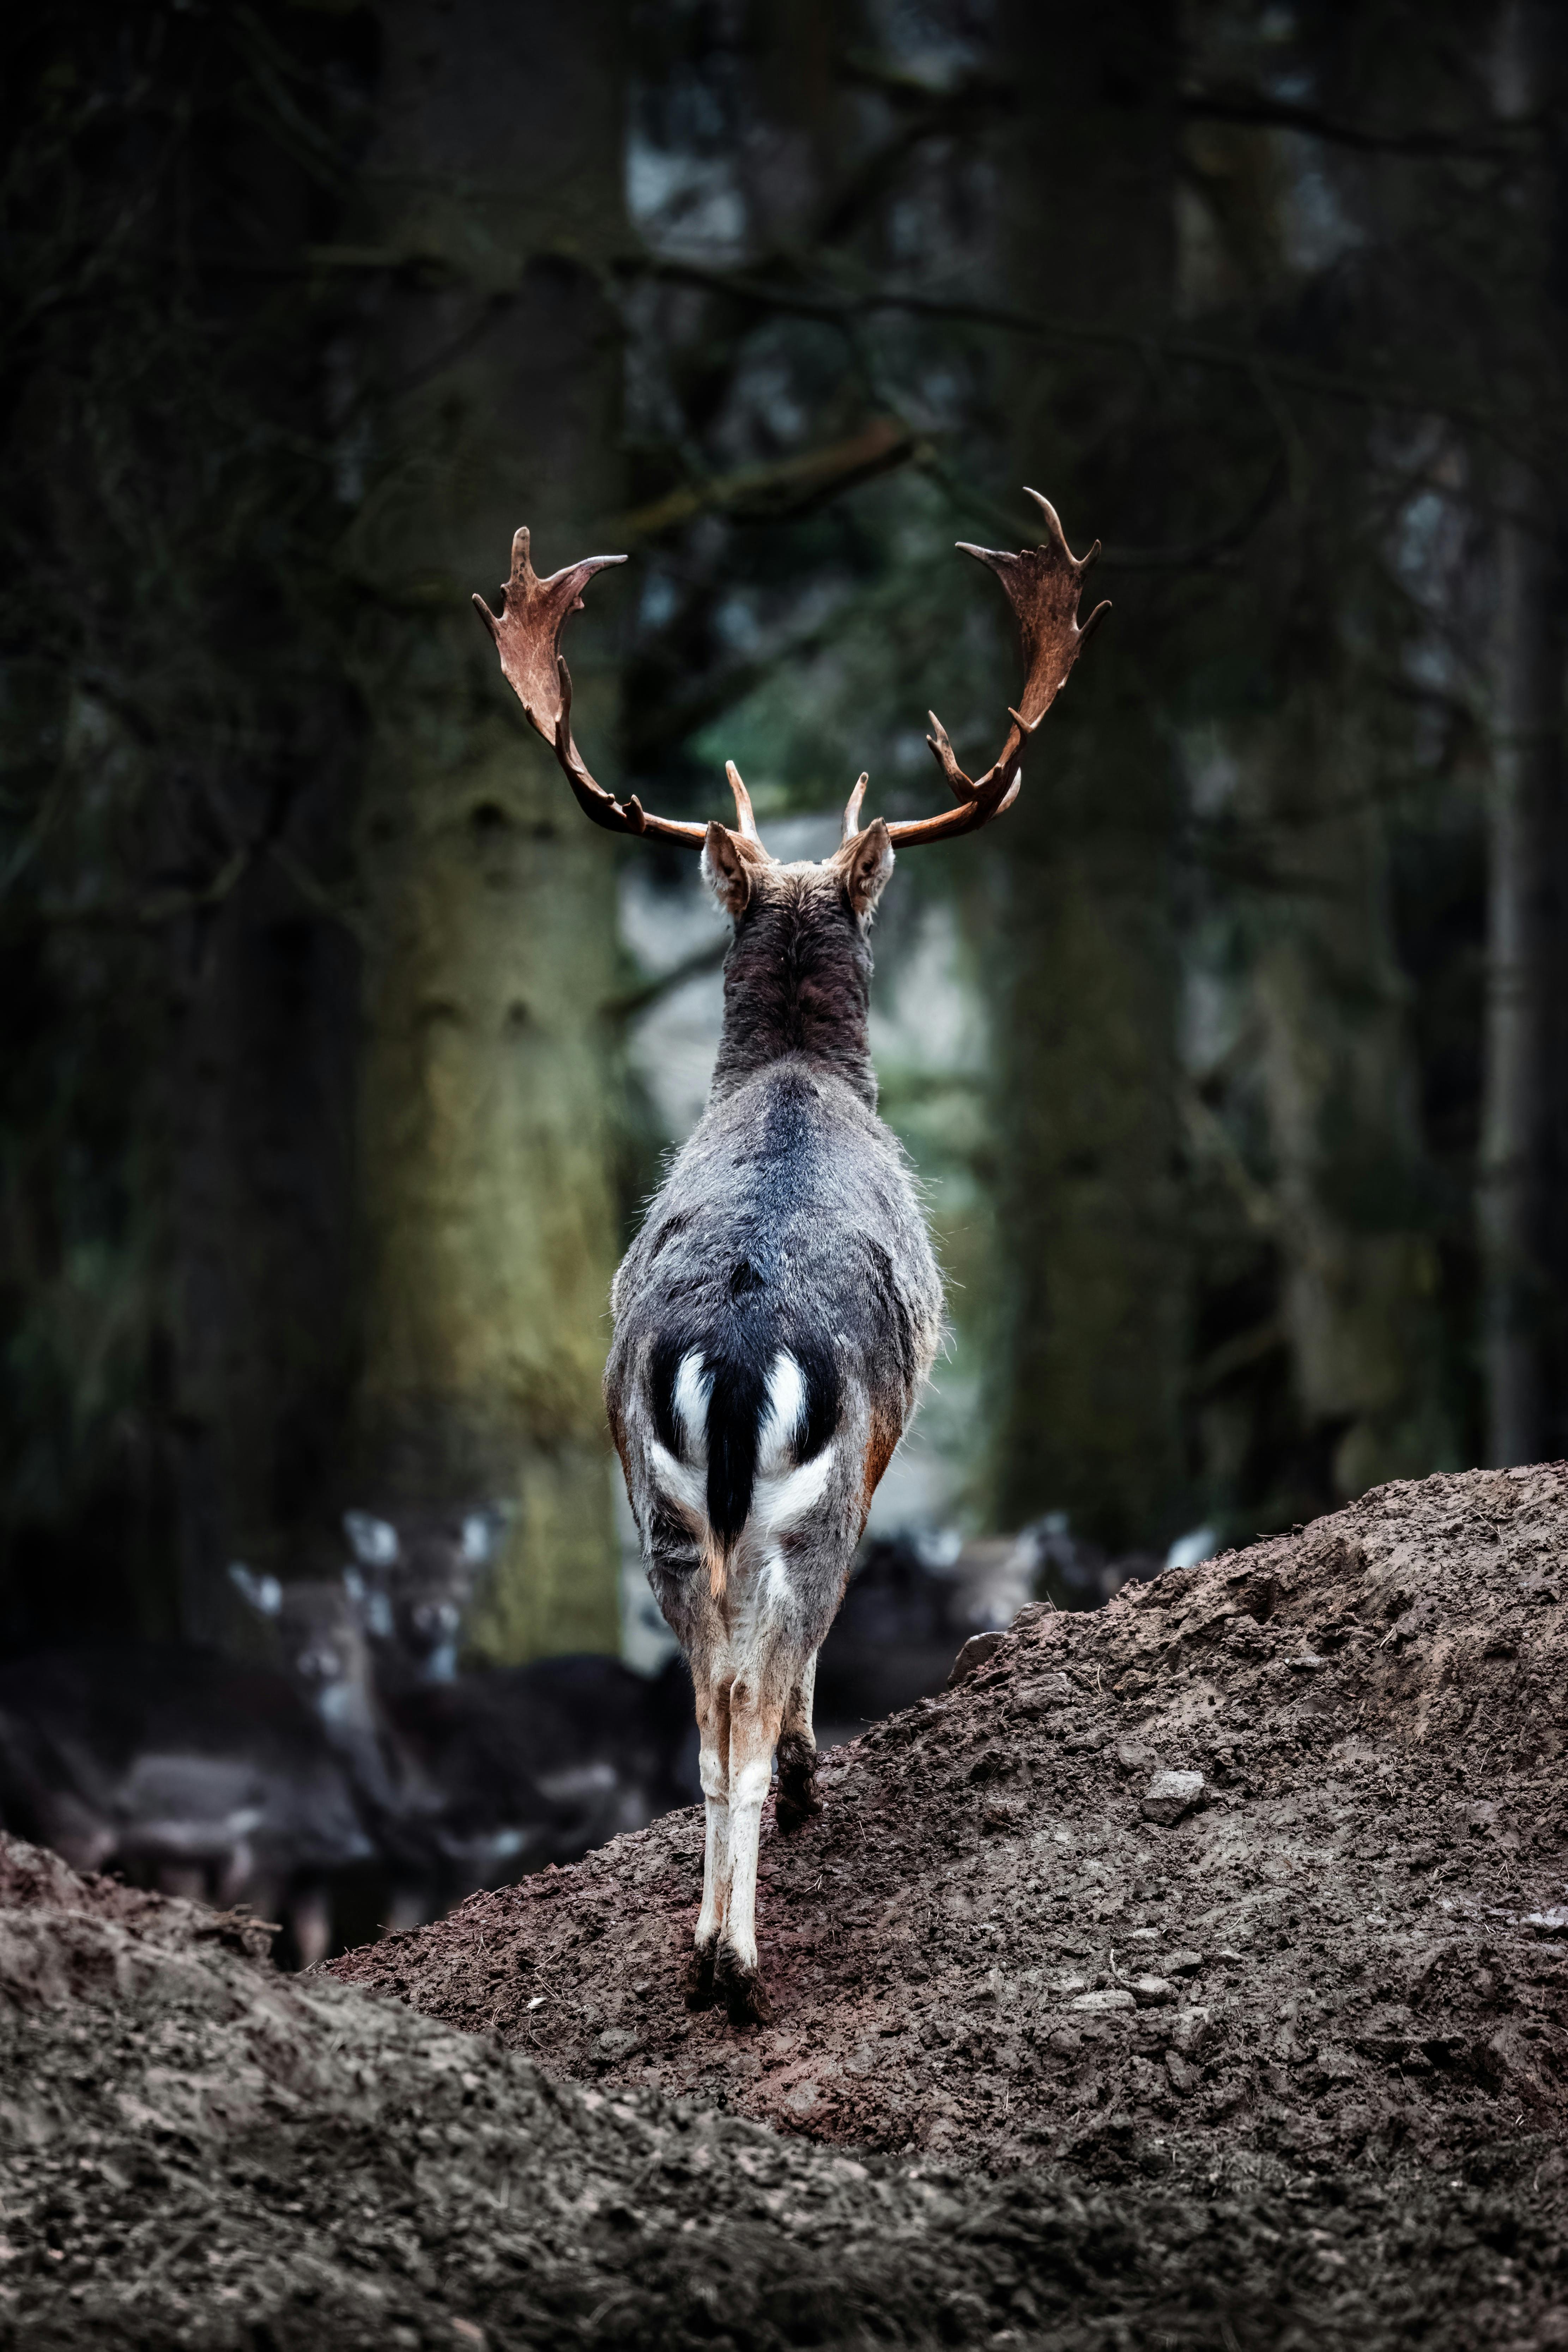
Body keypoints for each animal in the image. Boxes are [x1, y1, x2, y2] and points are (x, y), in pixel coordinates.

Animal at [474, 489, 1106, 2025]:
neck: (792, 1077)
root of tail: (739, 1354)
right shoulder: (886, 1439)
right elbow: (806, 1661)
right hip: (803, 1502)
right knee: (752, 1689)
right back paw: (738, 1957)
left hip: (652, 1497)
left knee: (703, 1702)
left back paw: (707, 1945)